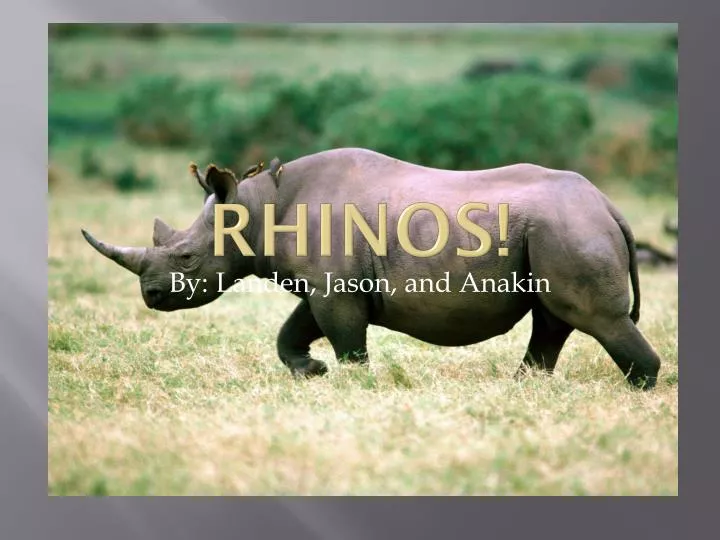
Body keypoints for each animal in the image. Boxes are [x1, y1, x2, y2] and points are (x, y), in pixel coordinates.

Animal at [81, 147, 662, 389]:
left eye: (185, 257)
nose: (152, 297)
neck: (258, 205)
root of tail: (608, 204)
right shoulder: (326, 285)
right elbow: (293, 330)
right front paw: (311, 372)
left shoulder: (336, 287)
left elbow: (346, 340)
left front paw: (355, 382)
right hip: (556, 228)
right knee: (553, 319)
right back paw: (523, 387)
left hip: (567, 227)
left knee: (594, 318)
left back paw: (640, 390)